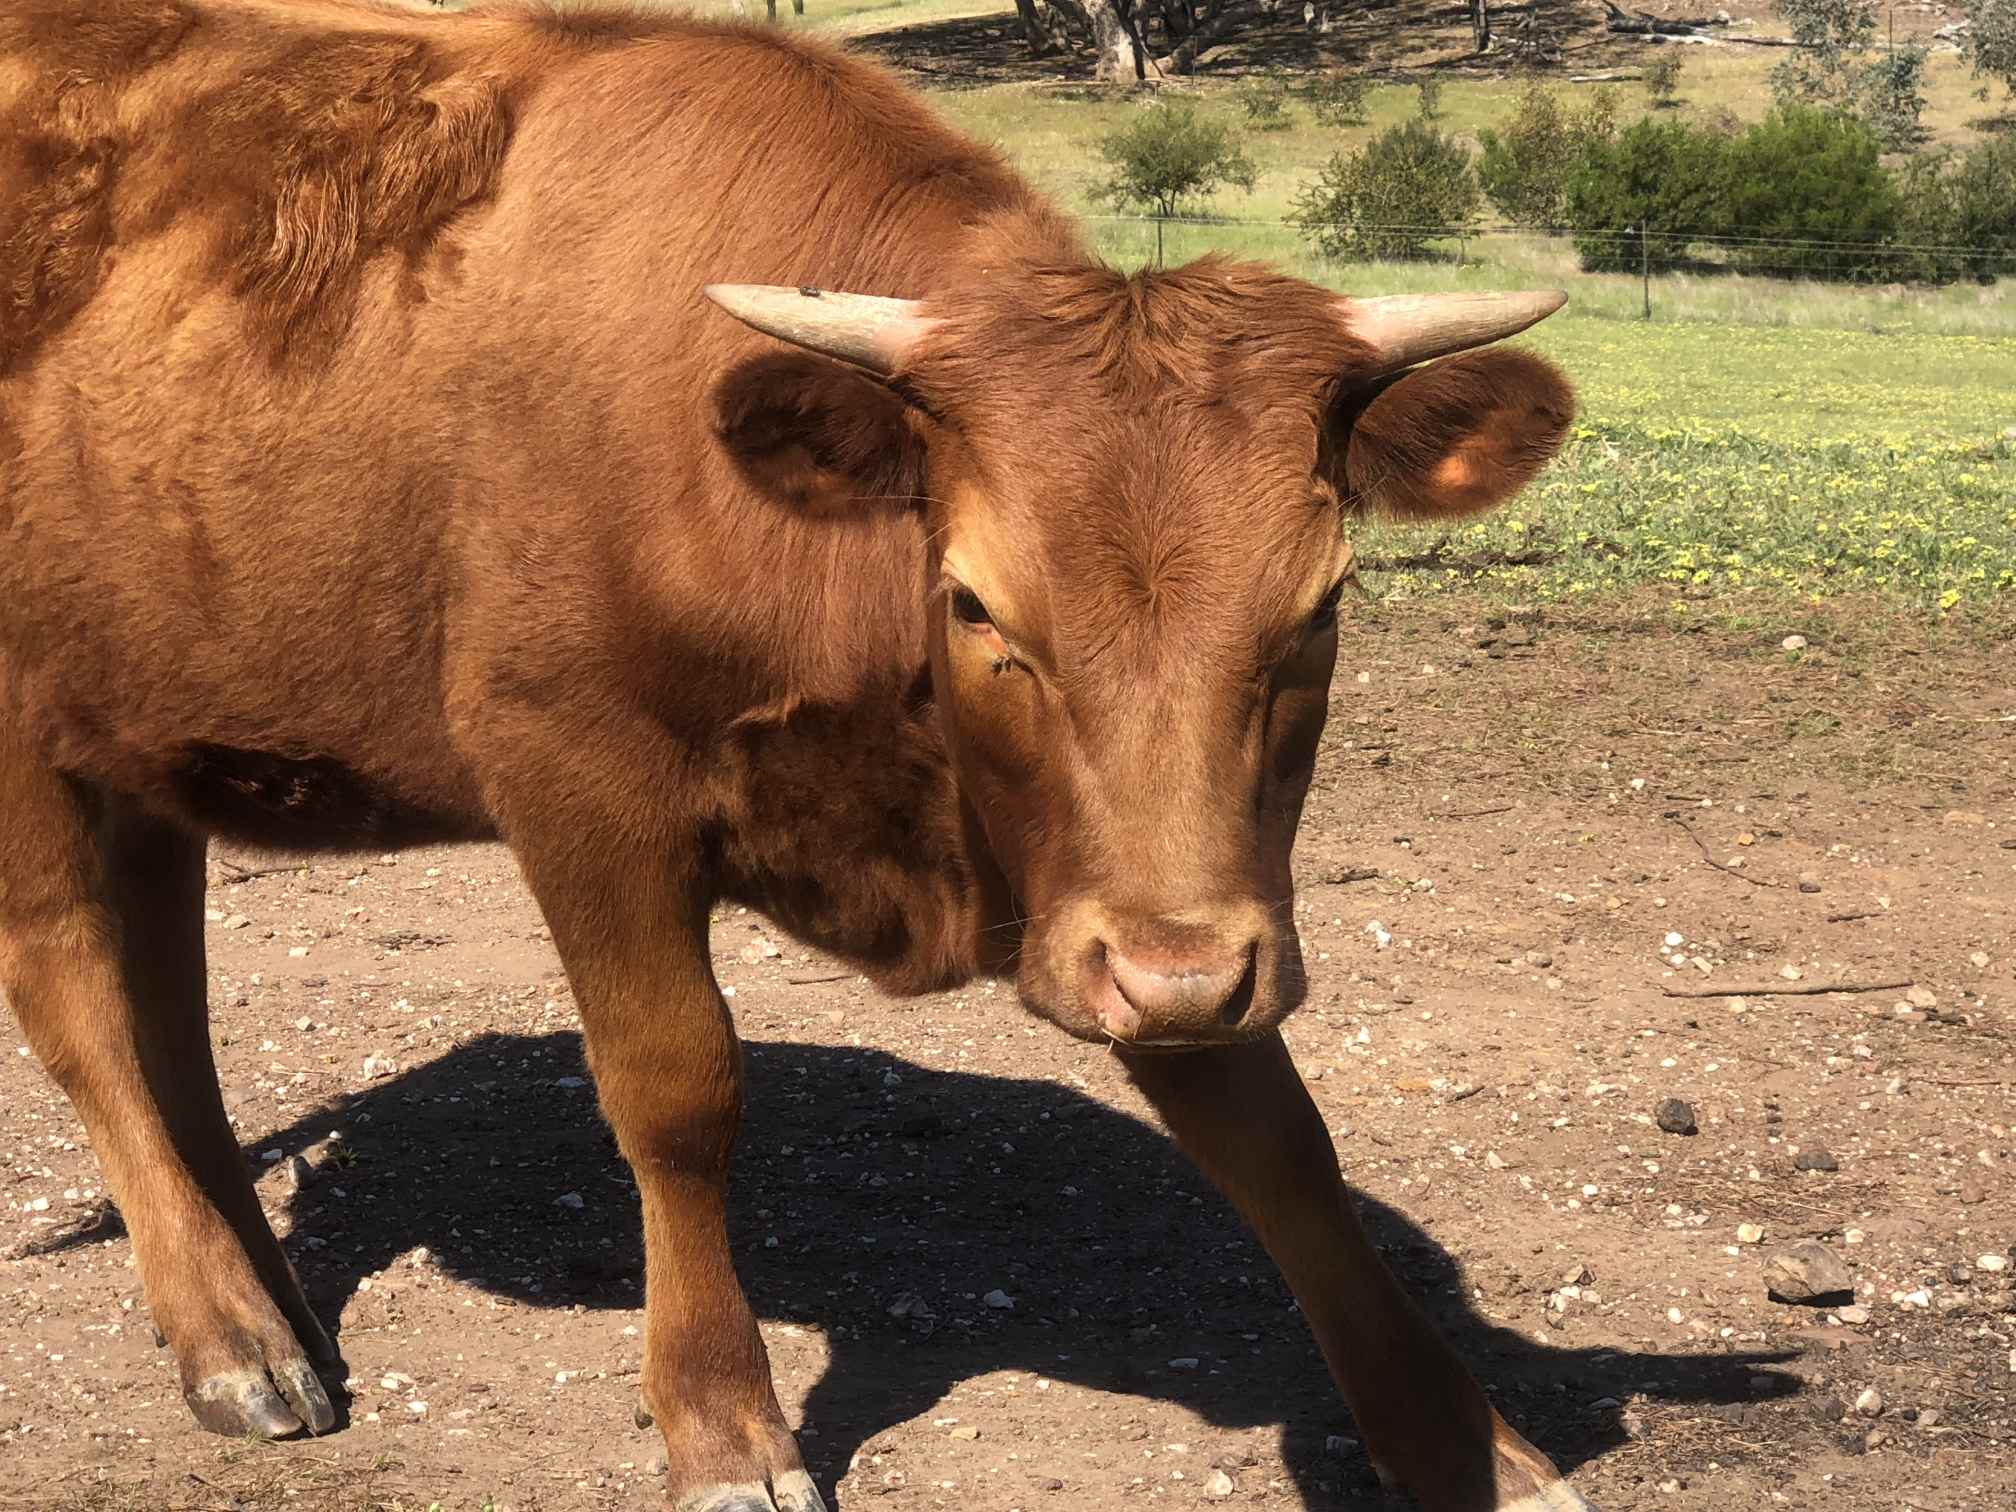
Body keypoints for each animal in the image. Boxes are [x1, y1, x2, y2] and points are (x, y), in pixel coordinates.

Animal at [0, 3, 1585, 1509]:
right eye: (974, 602)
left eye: (1320, 604)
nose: (1178, 973)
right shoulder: (576, 778)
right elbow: (677, 1091)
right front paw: (723, 1427)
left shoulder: (1144, 887)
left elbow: (1274, 1132)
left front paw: (1477, 1449)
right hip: (27, 744)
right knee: (78, 998)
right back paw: (232, 1340)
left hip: (146, 735)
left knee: (168, 1006)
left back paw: (259, 1294)